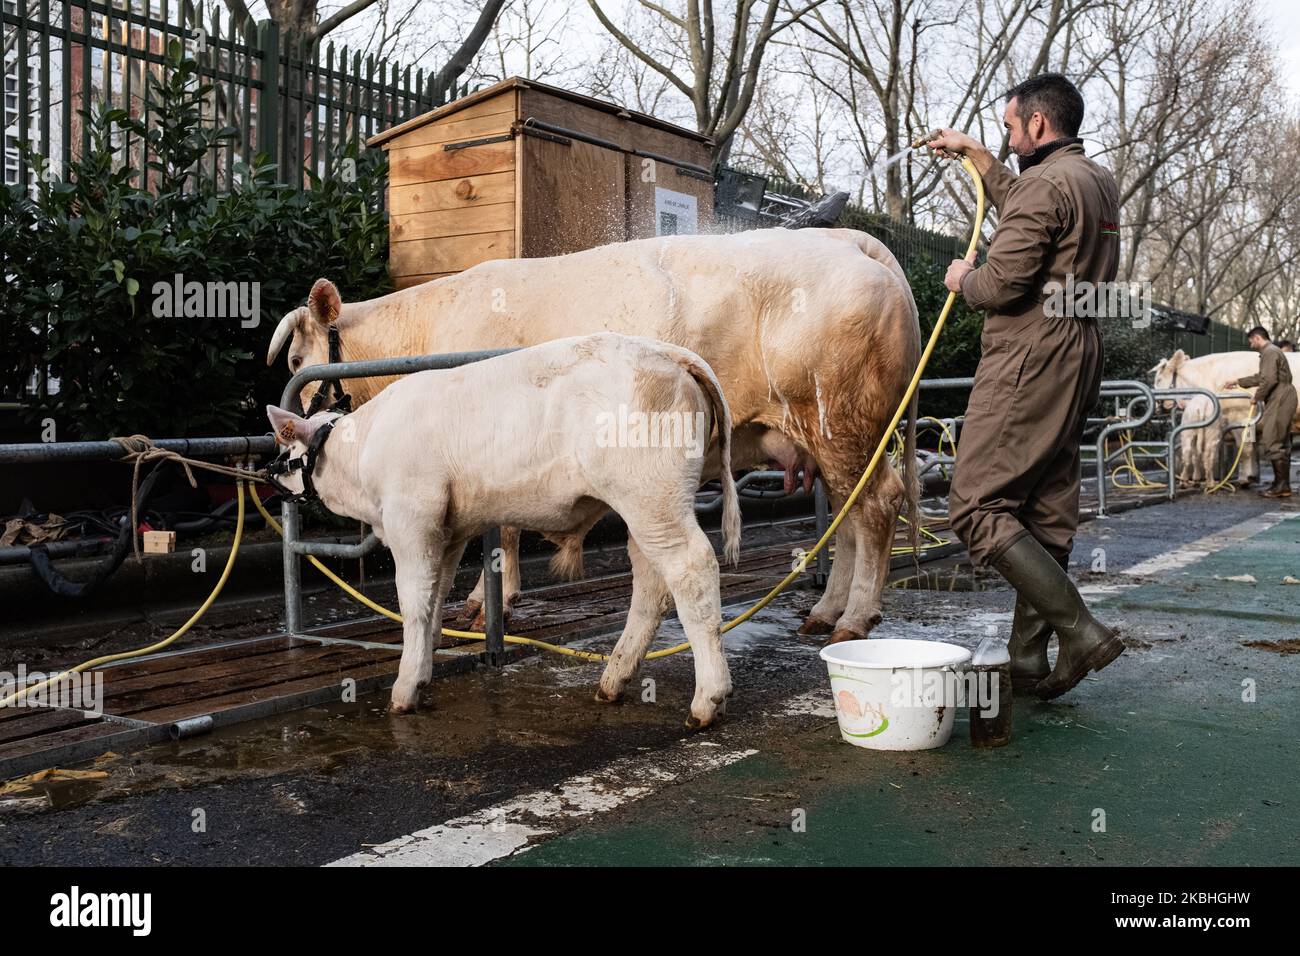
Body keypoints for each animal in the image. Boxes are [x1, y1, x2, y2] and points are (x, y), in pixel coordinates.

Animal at [266, 333, 741, 727]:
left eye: (287, 450)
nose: (270, 476)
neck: (362, 452)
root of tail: (671, 352)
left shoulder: (411, 518)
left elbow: (414, 601)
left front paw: (404, 691)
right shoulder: (449, 530)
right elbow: (436, 597)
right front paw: (424, 669)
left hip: (651, 496)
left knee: (692, 569)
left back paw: (707, 701)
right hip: (645, 505)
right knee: (651, 585)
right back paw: (613, 681)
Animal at [267, 228, 922, 644]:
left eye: (298, 358)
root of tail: (853, 241)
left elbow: (502, 527)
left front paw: (489, 602)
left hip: (841, 424)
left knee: (875, 506)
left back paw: (854, 618)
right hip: (829, 439)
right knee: (849, 516)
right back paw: (825, 611)